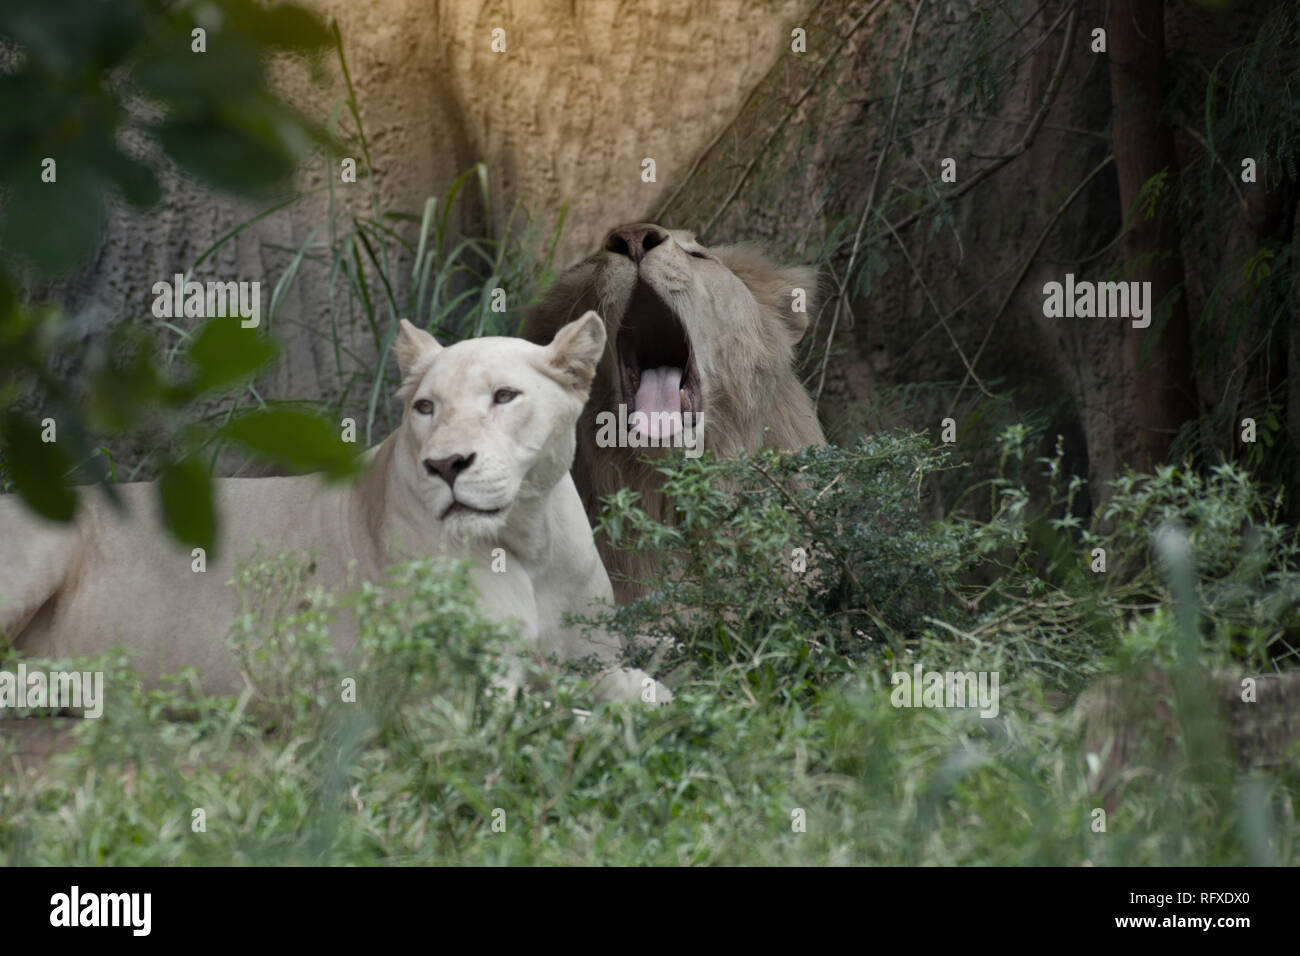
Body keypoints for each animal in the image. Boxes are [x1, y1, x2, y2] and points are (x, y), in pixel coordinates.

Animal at [0, 314, 669, 705]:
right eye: (426, 407)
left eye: (505, 396)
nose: (446, 466)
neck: (526, 544)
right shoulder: (453, 694)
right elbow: (558, 716)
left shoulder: (590, 653)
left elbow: (635, 684)